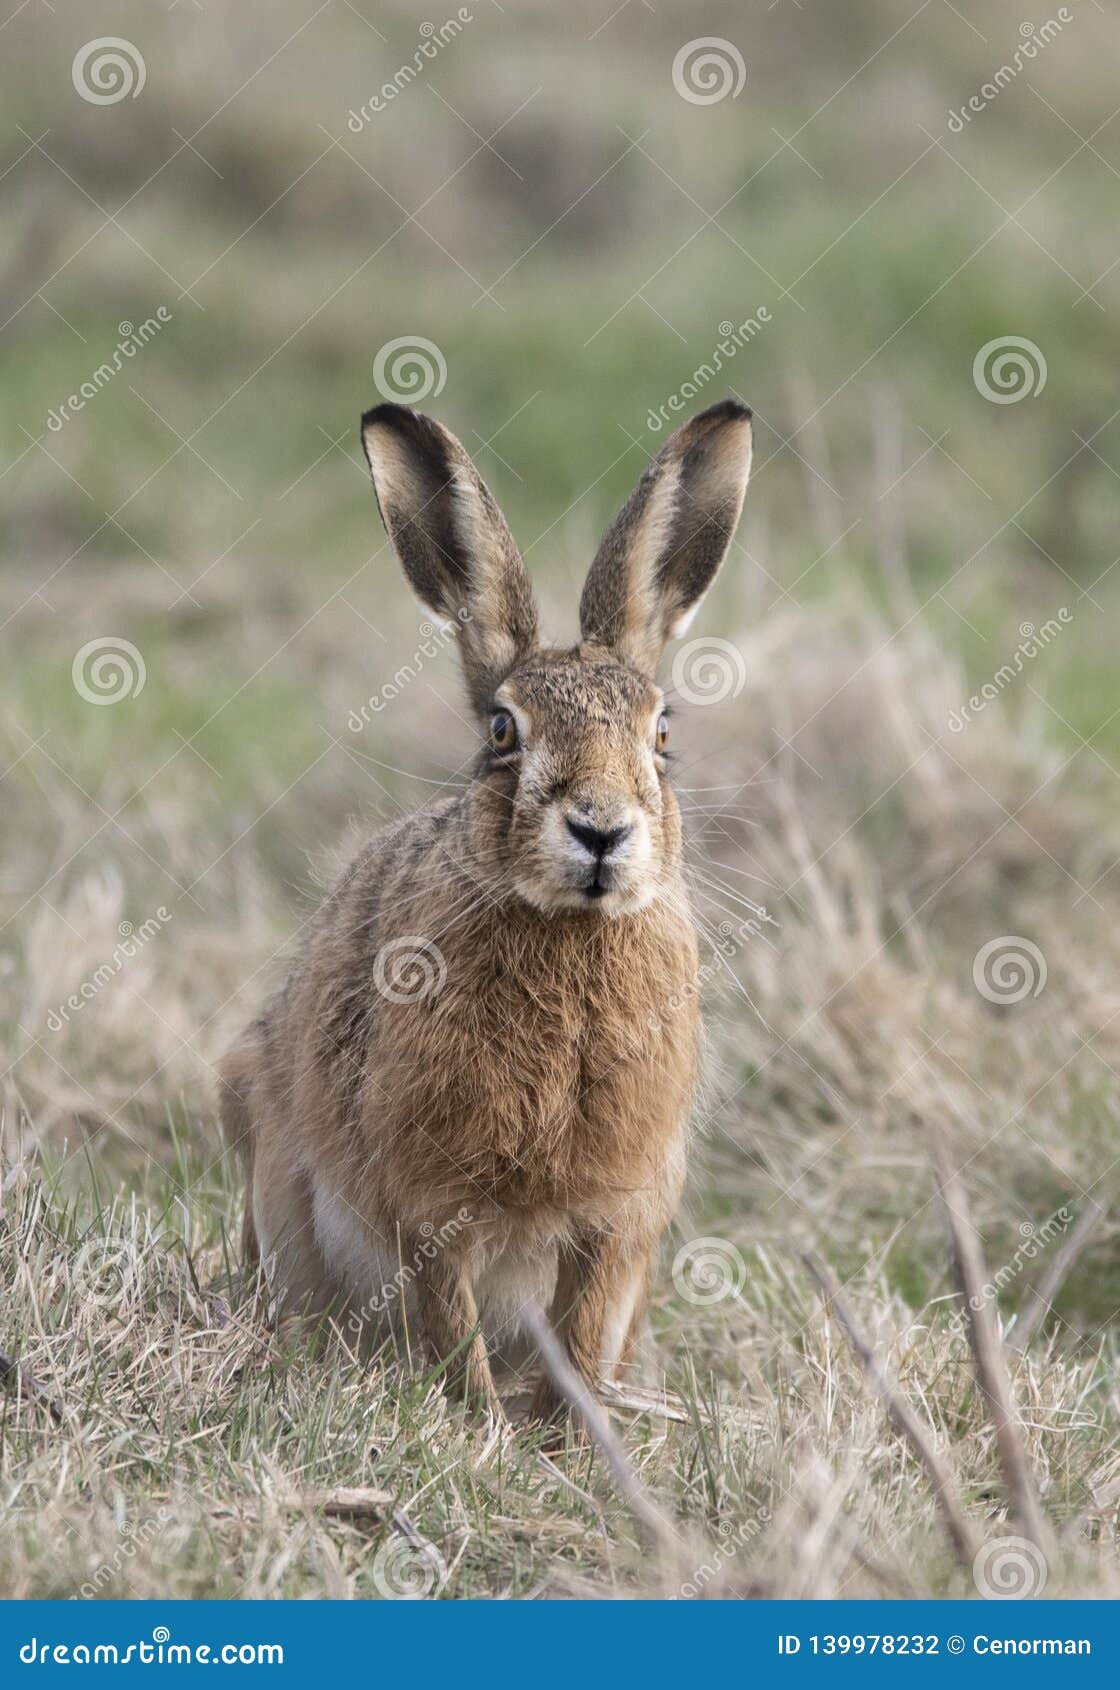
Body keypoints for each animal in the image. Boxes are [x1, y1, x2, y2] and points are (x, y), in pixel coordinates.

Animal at [219, 396, 753, 1423]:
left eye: (662, 735)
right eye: (504, 731)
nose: (601, 829)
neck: (568, 932)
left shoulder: (619, 1217)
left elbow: (580, 1337)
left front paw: (573, 1435)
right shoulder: (430, 1202)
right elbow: (450, 1317)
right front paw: (479, 1424)